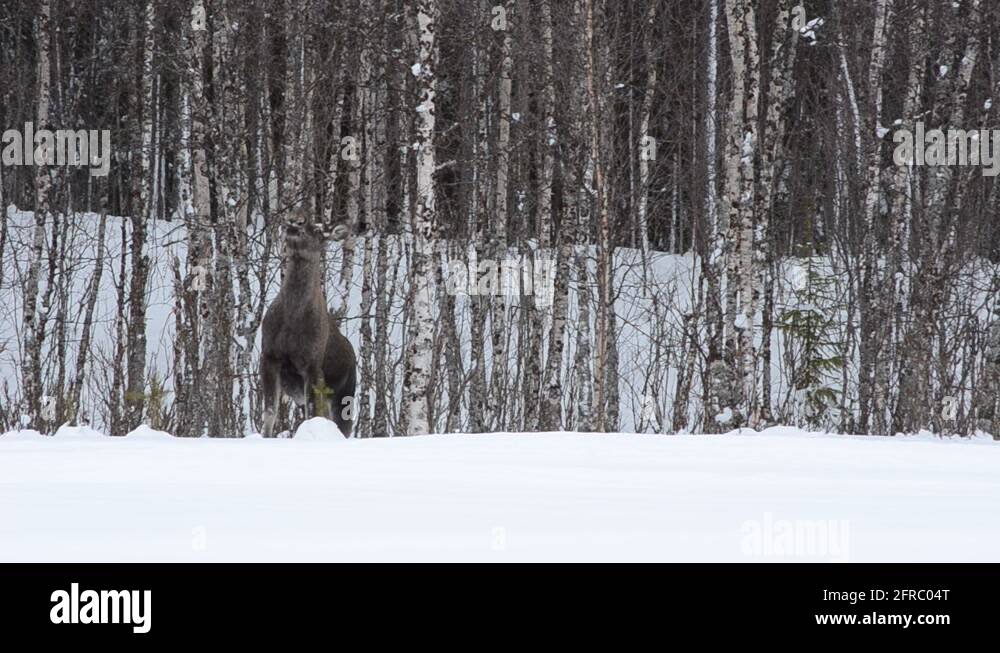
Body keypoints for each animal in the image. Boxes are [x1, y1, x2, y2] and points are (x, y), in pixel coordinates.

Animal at [260, 208, 357, 438]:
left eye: (320, 231)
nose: (295, 220)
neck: (292, 320)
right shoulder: (269, 356)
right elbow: (270, 412)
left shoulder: (312, 366)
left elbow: (310, 415)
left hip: (344, 396)